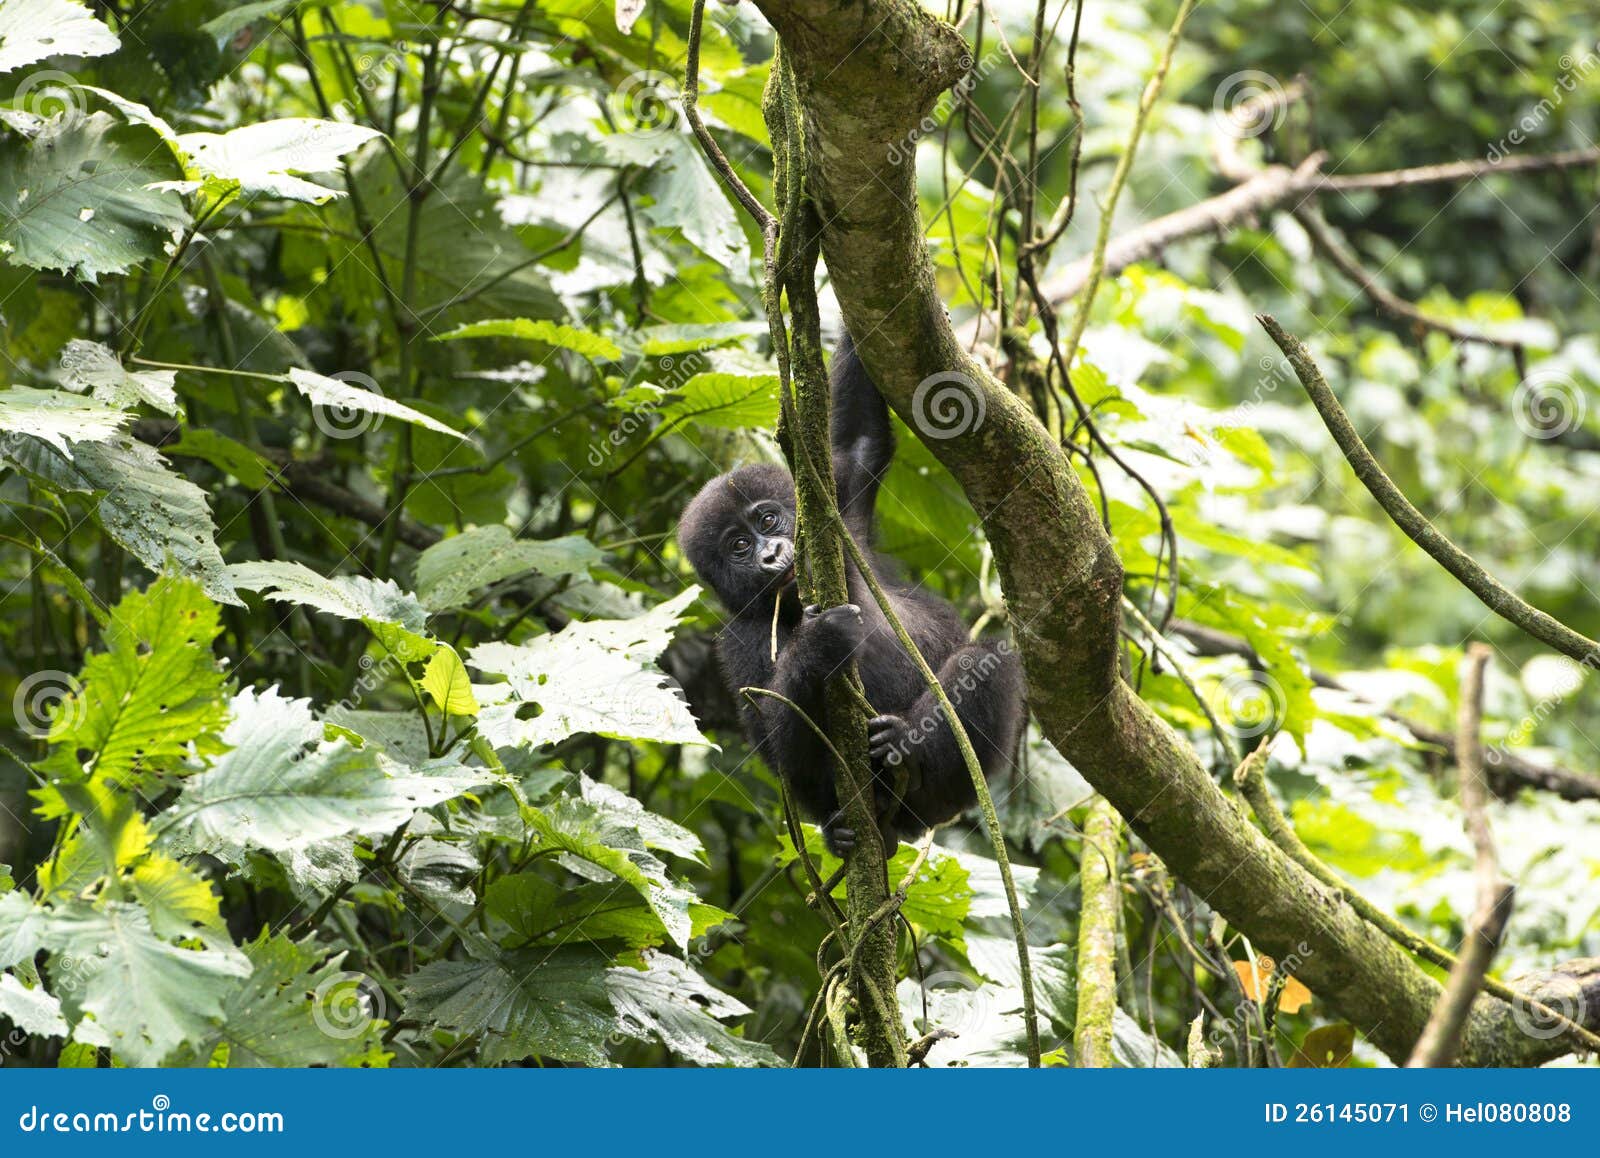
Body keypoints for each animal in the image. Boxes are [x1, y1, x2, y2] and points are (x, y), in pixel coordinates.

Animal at [675, 329, 1024, 857]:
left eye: (768, 520)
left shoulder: (837, 505)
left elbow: (858, 439)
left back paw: (906, 746)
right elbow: (778, 736)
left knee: (982, 661)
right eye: (738, 547)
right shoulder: (737, 637)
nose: (771, 555)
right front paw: (818, 645)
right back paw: (846, 825)